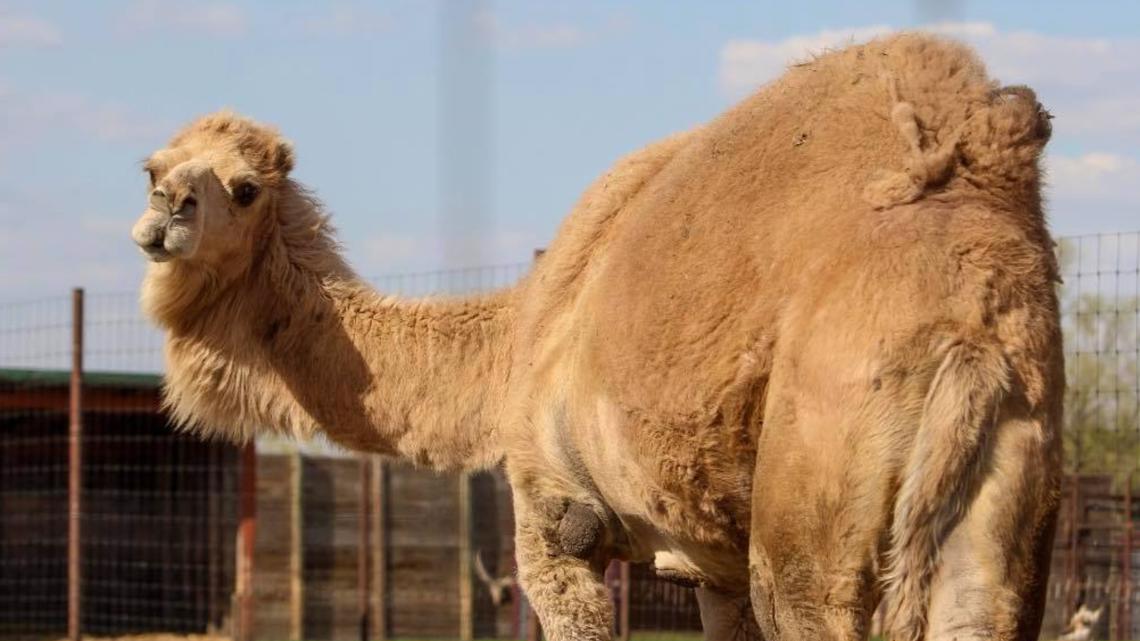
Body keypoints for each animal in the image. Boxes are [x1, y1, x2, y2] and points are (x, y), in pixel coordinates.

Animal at [132, 33, 1063, 641]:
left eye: (245, 188)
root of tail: (973, 339)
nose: (166, 212)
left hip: (816, 526)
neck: (517, 335)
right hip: (1003, 524)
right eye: (152, 168)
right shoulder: (714, 566)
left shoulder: (555, 517)